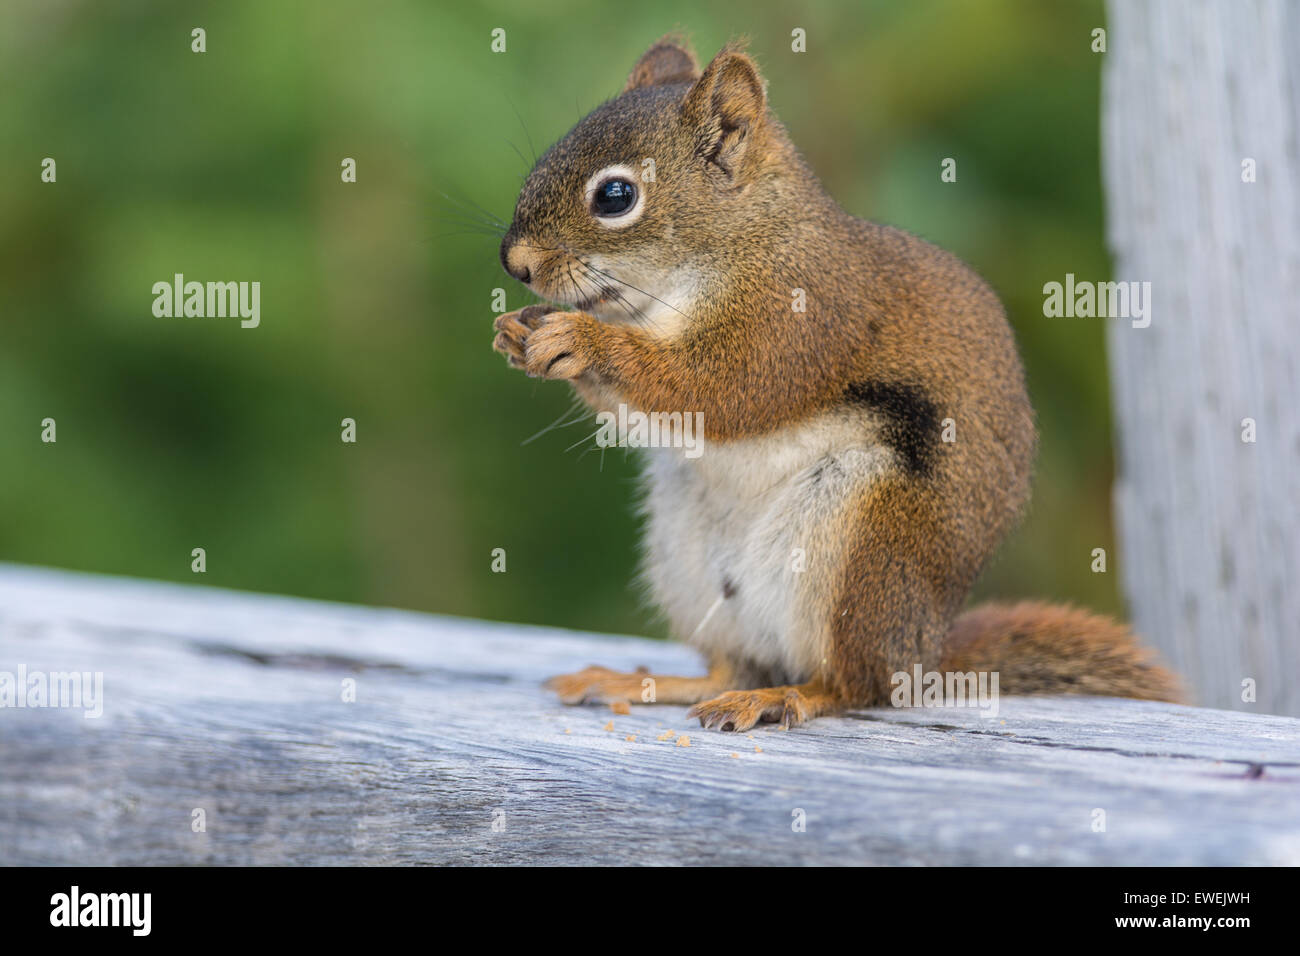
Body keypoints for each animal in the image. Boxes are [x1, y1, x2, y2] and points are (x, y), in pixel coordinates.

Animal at [491, 36, 1182, 732]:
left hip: (860, 543)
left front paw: (582, 340)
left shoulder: (799, 317)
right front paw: (516, 332)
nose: (514, 264)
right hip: (686, 559)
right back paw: (647, 682)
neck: (735, 243)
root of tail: (921, 653)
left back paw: (783, 697)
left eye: (615, 196)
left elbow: (717, 390)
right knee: (734, 665)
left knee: (854, 684)